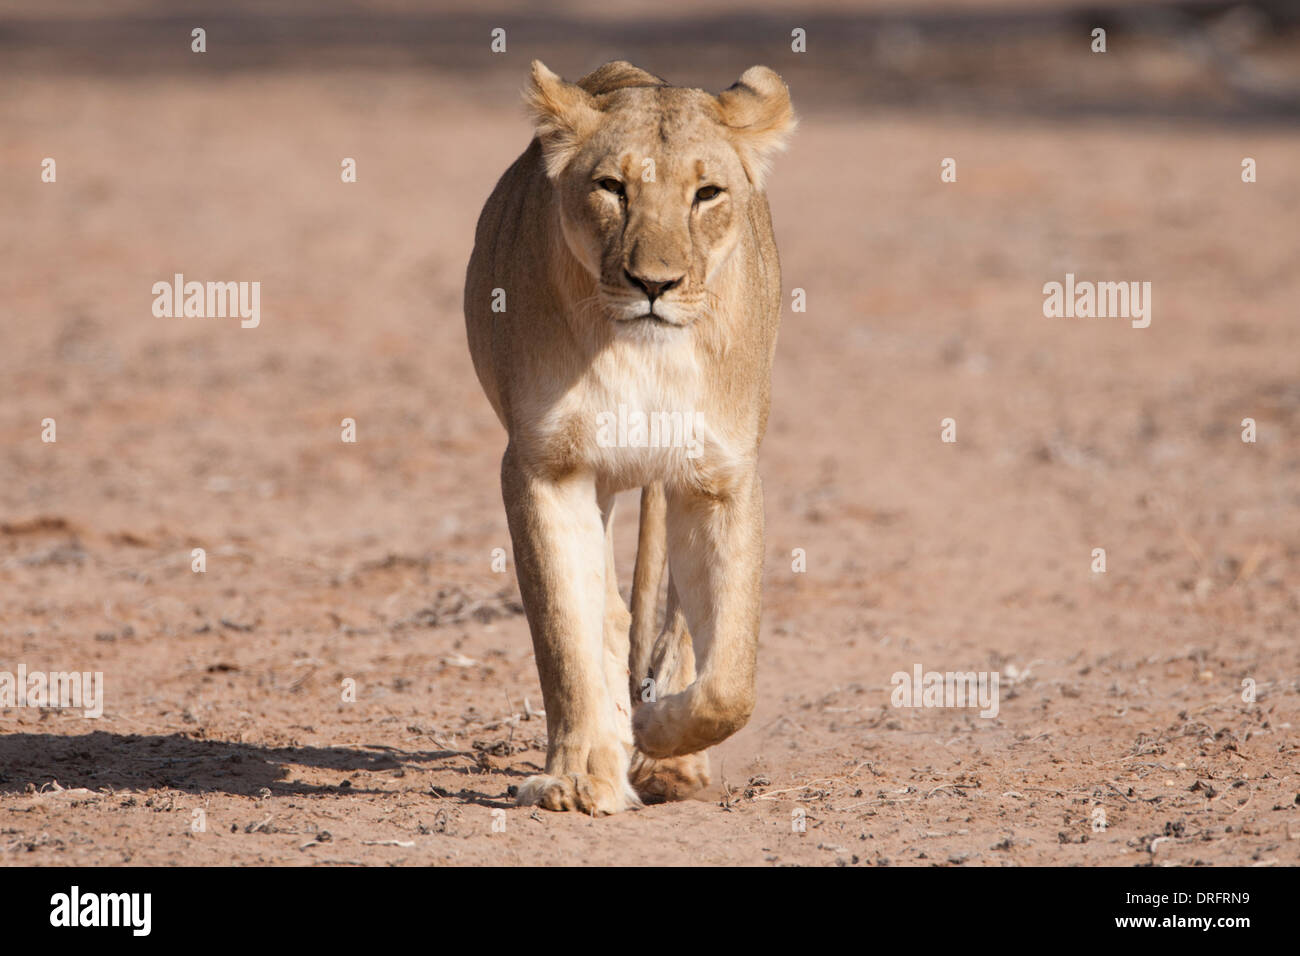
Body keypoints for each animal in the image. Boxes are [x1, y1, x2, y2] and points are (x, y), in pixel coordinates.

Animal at [463, 59, 795, 814]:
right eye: (612, 187)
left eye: (707, 193)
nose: (654, 284)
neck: (645, 353)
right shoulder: (547, 467)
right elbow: (566, 631)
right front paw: (581, 774)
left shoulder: (721, 477)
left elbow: (730, 681)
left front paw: (658, 734)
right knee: (611, 615)